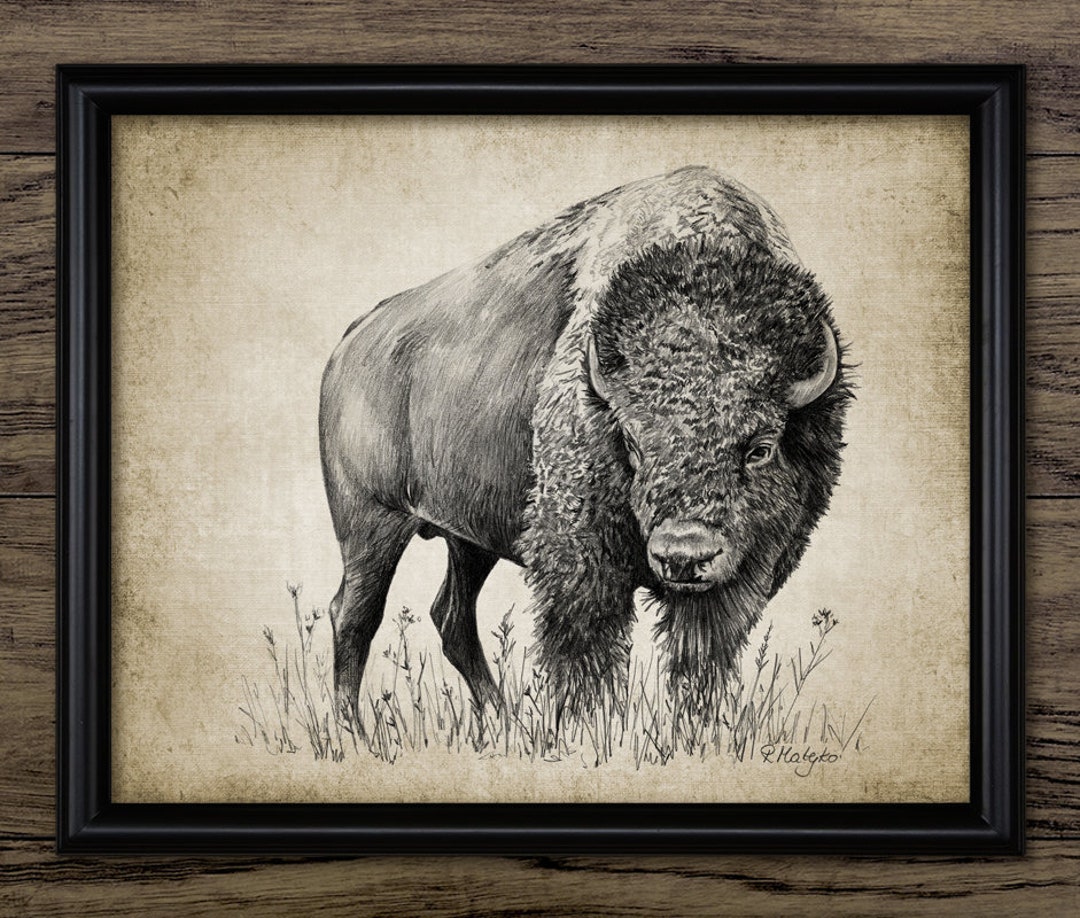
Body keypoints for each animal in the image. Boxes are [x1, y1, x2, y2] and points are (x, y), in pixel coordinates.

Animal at [320, 166, 852, 717]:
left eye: (761, 448)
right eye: (633, 443)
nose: (683, 555)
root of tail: (352, 339)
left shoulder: (738, 576)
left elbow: (700, 663)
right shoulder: (581, 561)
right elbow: (585, 655)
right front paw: (590, 725)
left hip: (468, 539)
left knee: (452, 617)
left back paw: (503, 720)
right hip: (370, 522)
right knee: (355, 615)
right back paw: (351, 727)